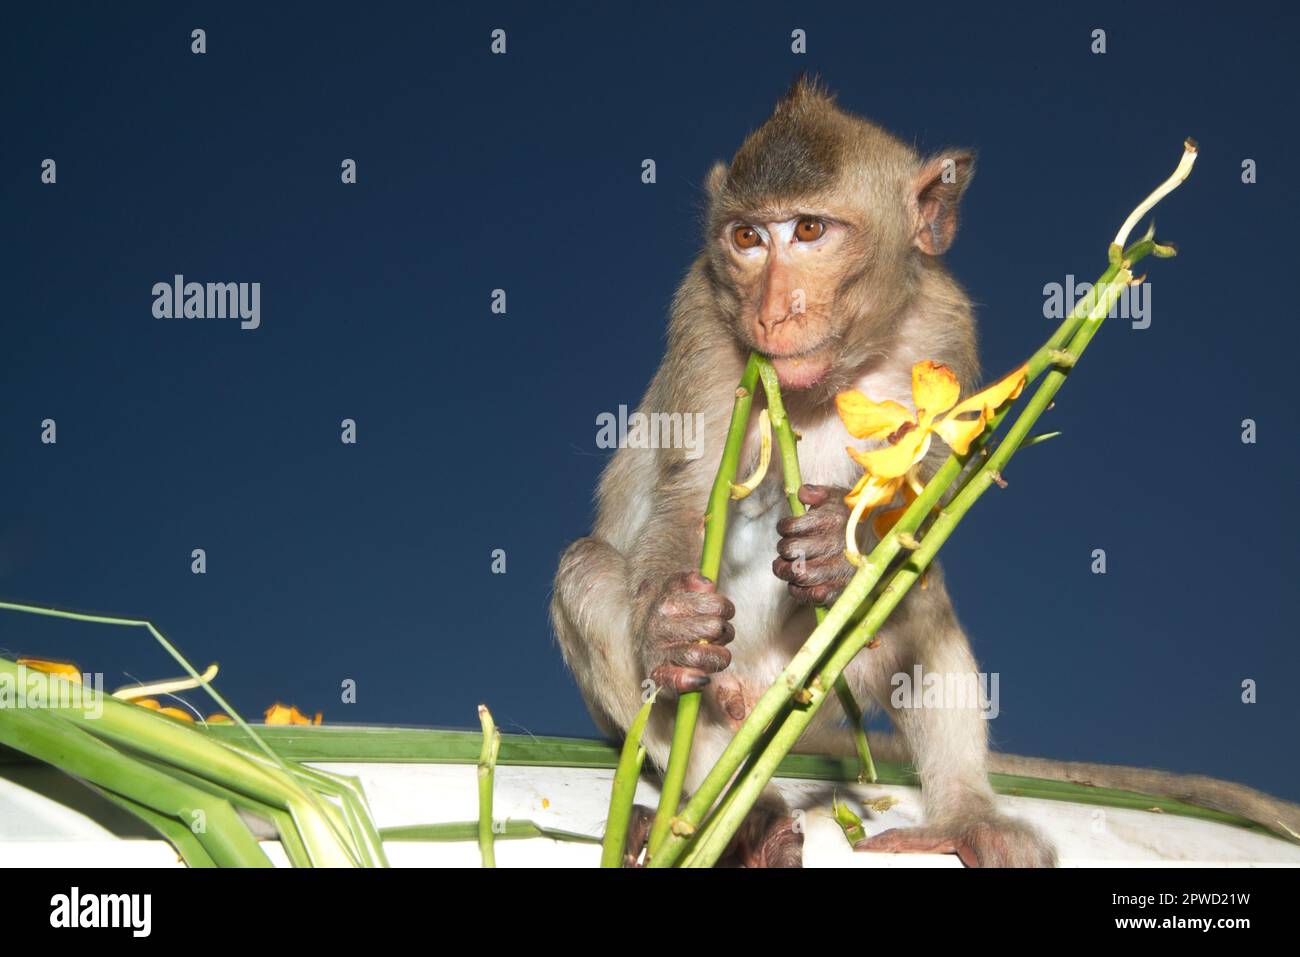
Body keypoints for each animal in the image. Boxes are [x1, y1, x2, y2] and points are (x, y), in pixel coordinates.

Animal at [550, 77, 1300, 867]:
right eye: (747, 238)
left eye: (810, 230)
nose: (772, 313)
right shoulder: (702, 318)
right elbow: (691, 494)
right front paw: (670, 621)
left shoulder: (944, 322)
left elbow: (929, 511)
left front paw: (834, 552)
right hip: (732, 699)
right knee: (592, 576)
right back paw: (735, 814)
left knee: (920, 596)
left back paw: (964, 811)